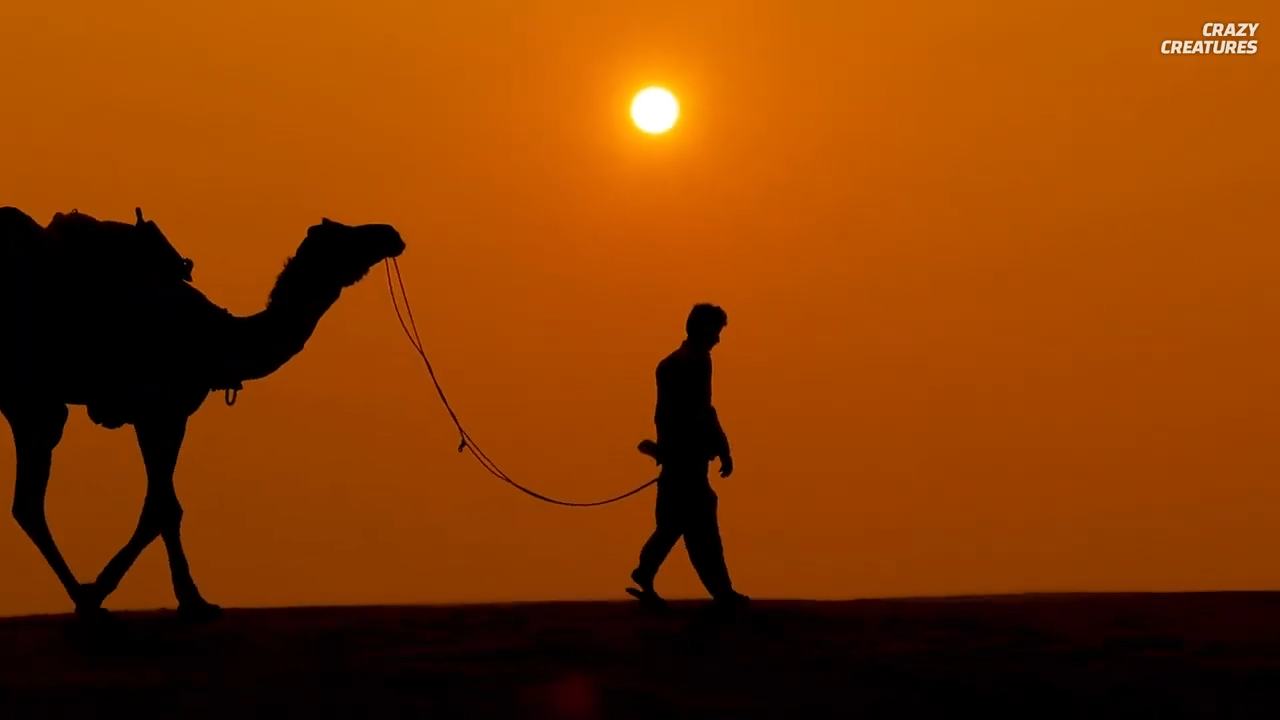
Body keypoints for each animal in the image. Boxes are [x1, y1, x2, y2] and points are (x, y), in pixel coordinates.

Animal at [0, 206, 405, 620]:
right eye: (345, 235)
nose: (390, 233)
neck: (219, 339)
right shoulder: (161, 409)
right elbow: (163, 508)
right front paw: (186, 600)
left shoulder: (165, 413)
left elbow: (160, 508)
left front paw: (116, 592)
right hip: (31, 398)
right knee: (29, 500)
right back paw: (85, 600)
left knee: (27, 502)